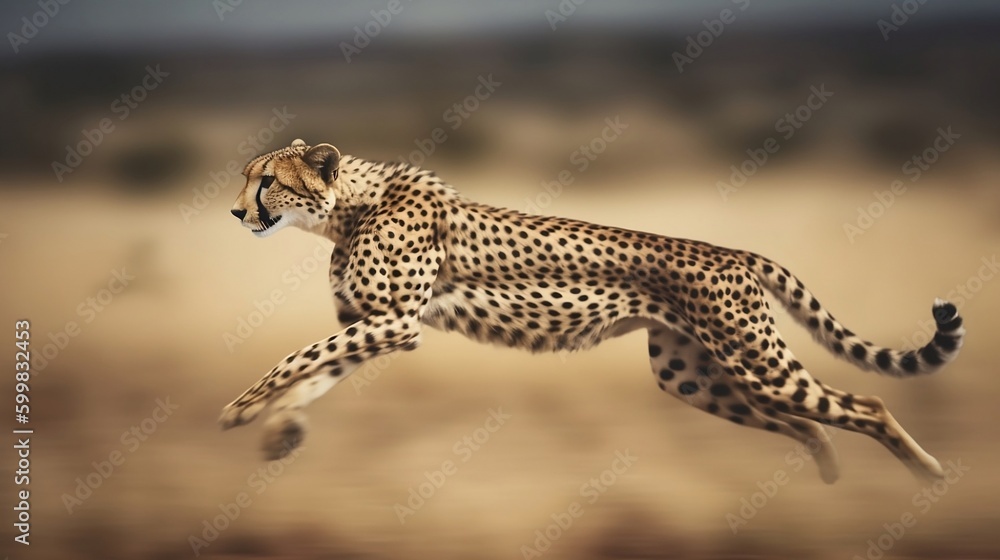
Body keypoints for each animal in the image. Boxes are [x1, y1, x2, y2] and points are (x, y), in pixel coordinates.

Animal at [219, 138, 965, 483]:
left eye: (268, 182)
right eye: (248, 177)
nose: (234, 212)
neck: (346, 210)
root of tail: (734, 252)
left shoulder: (395, 324)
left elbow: (296, 357)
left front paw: (241, 409)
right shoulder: (368, 327)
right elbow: (315, 370)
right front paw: (280, 428)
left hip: (756, 362)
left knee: (865, 404)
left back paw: (929, 477)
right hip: (690, 376)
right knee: (808, 423)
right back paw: (830, 468)